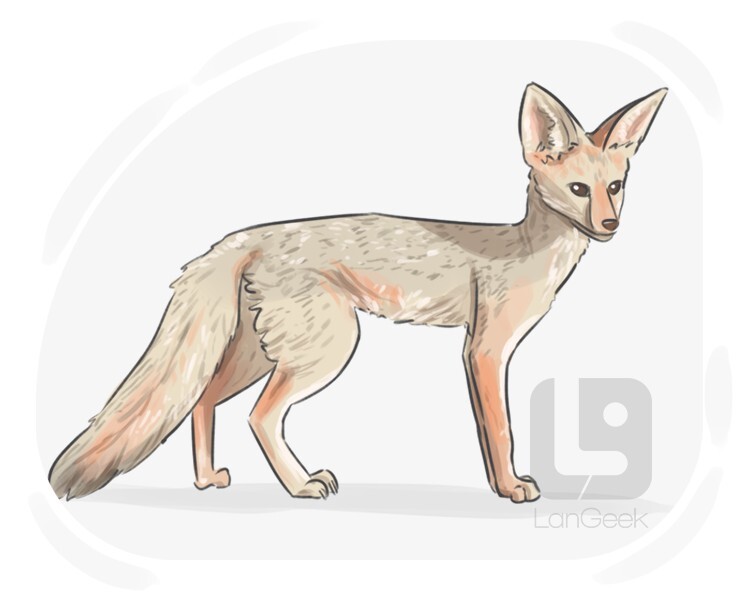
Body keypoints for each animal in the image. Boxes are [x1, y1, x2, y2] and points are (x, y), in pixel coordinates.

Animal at [49, 83, 667, 503]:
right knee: (258, 416)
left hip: (259, 352)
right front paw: (510, 488)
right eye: (579, 189)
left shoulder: (480, 350)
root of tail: (241, 237)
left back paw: (206, 479)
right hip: (328, 348)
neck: (526, 250)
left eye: (616, 187)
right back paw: (300, 486)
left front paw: (502, 485)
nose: (610, 225)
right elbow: (501, 430)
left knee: (202, 399)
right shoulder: (485, 350)